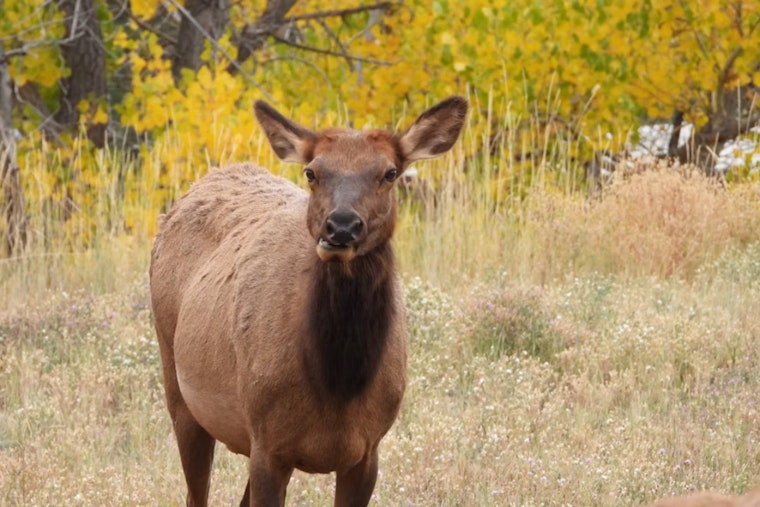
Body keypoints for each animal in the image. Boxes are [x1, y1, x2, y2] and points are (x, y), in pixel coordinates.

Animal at [149, 96, 467, 506]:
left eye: (390, 172)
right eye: (312, 173)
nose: (342, 226)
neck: (337, 386)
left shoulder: (367, 450)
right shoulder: (268, 444)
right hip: (179, 386)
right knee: (194, 492)